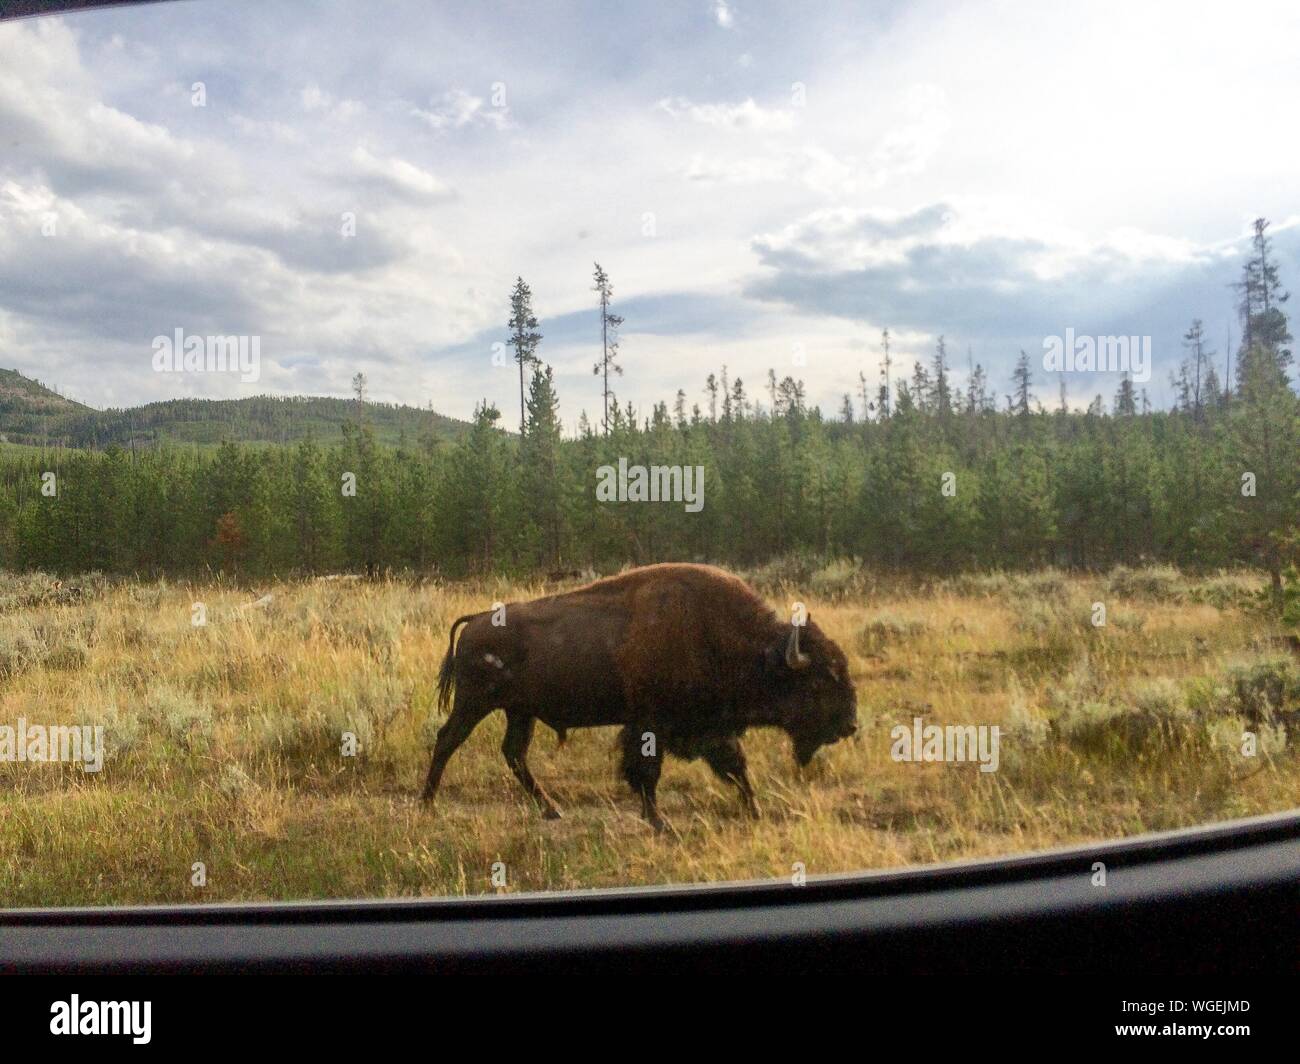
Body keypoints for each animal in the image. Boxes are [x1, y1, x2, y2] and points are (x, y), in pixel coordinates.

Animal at [420, 563, 858, 830]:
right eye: (817, 683)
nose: (850, 725)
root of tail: (476, 620)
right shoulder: (651, 724)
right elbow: (647, 771)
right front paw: (658, 821)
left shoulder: (710, 728)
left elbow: (736, 765)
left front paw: (755, 809)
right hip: (474, 704)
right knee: (447, 741)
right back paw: (427, 805)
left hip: (518, 712)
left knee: (514, 753)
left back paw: (551, 809)